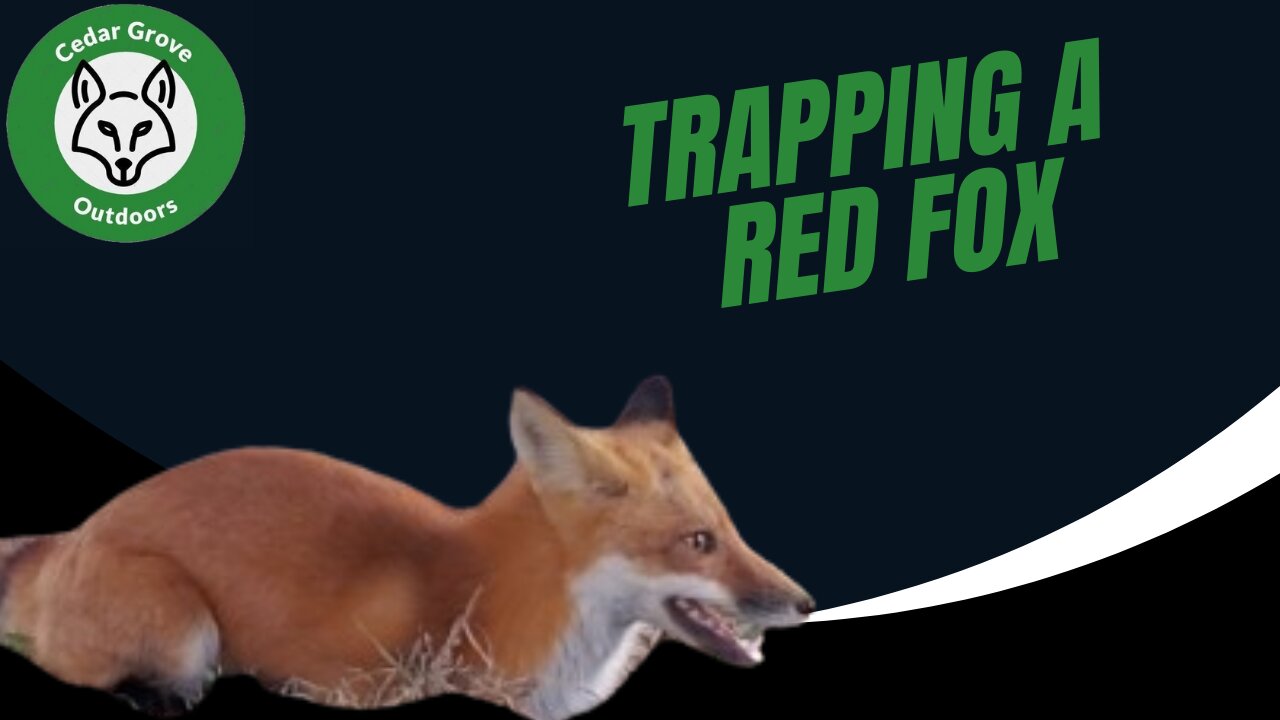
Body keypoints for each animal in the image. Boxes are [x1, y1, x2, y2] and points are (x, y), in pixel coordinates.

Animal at [0, 377, 812, 719]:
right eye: (698, 542)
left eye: (730, 527)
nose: (805, 604)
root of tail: (74, 535)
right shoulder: (350, 680)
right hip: (183, 631)